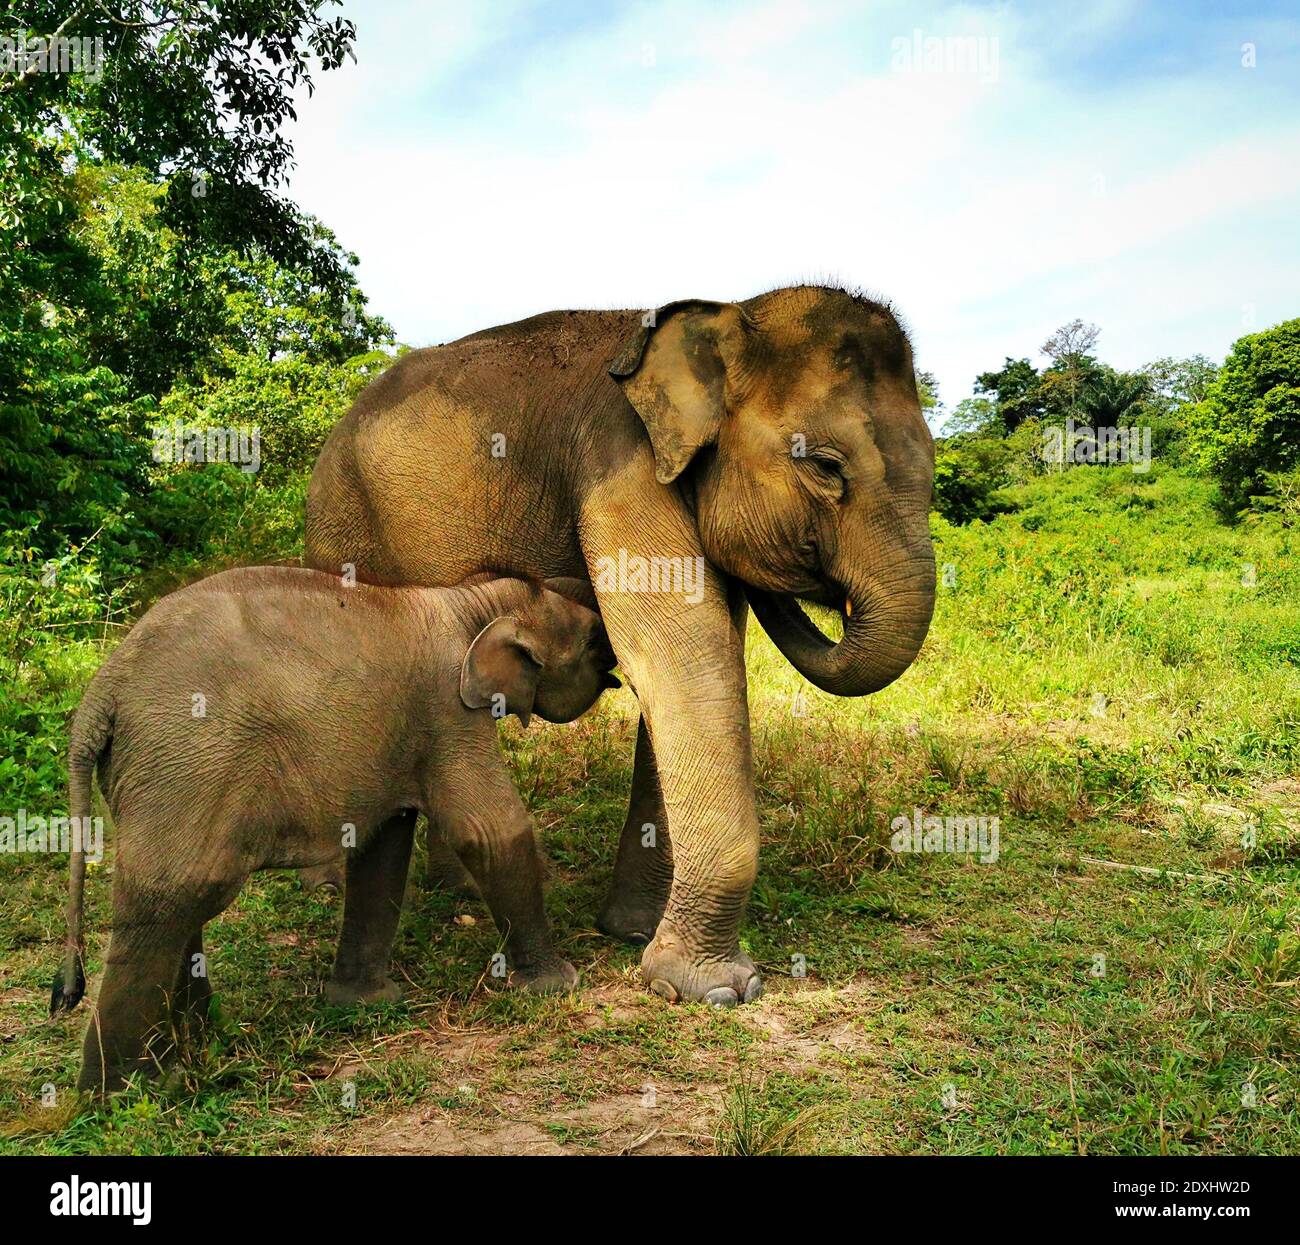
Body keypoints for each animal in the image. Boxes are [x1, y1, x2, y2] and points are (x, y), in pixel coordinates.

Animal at [51, 568, 620, 1093]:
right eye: (593, 639)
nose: (614, 664)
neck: (473, 599)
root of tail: (103, 691)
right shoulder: (449, 710)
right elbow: (490, 829)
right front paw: (557, 985)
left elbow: (382, 846)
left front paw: (363, 1004)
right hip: (187, 761)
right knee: (172, 894)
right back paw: (130, 1091)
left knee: (184, 897)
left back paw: (193, 1049)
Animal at [304, 284, 937, 1007]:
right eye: (827, 467)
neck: (734, 311)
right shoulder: (620, 467)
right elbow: (682, 655)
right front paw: (716, 989)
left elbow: (695, 666)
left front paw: (634, 934)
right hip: (340, 518)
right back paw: (330, 885)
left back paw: (454, 890)